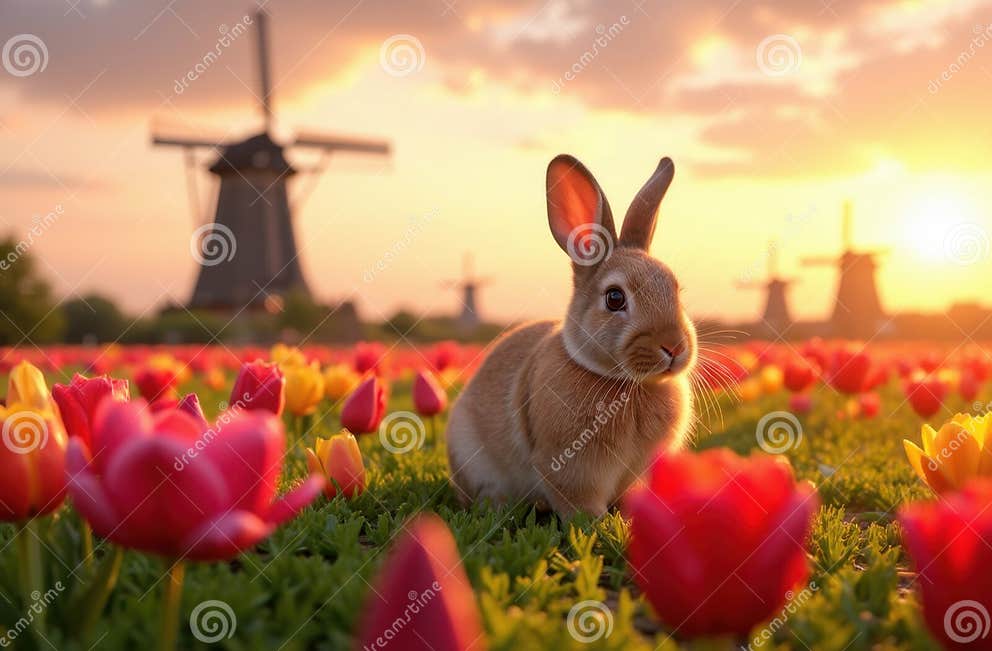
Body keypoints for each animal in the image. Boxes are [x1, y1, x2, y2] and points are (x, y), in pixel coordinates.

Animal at [446, 154, 696, 518]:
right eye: (615, 298)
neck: (625, 384)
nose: (675, 347)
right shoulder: (570, 469)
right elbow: (581, 508)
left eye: (676, 290)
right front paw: (599, 525)